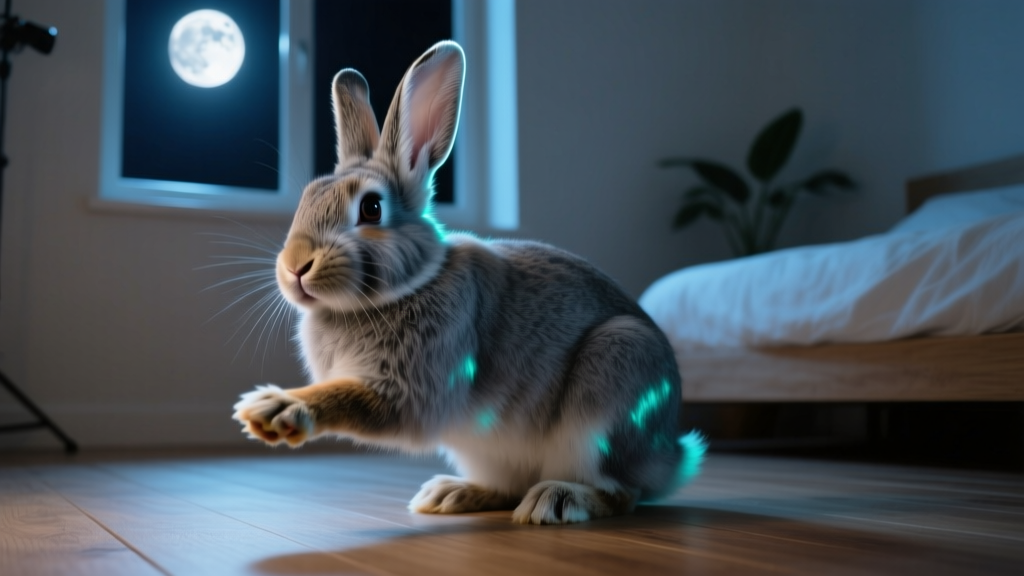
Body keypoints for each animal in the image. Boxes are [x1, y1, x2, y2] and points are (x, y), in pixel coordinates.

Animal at [232, 40, 705, 525]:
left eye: (371, 209)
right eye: (307, 199)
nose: (295, 267)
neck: (408, 287)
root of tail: (670, 456)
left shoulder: (411, 389)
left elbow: (347, 396)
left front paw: (275, 408)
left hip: (612, 384)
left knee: (620, 492)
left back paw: (556, 500)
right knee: (510, 487)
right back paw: (451, 494)